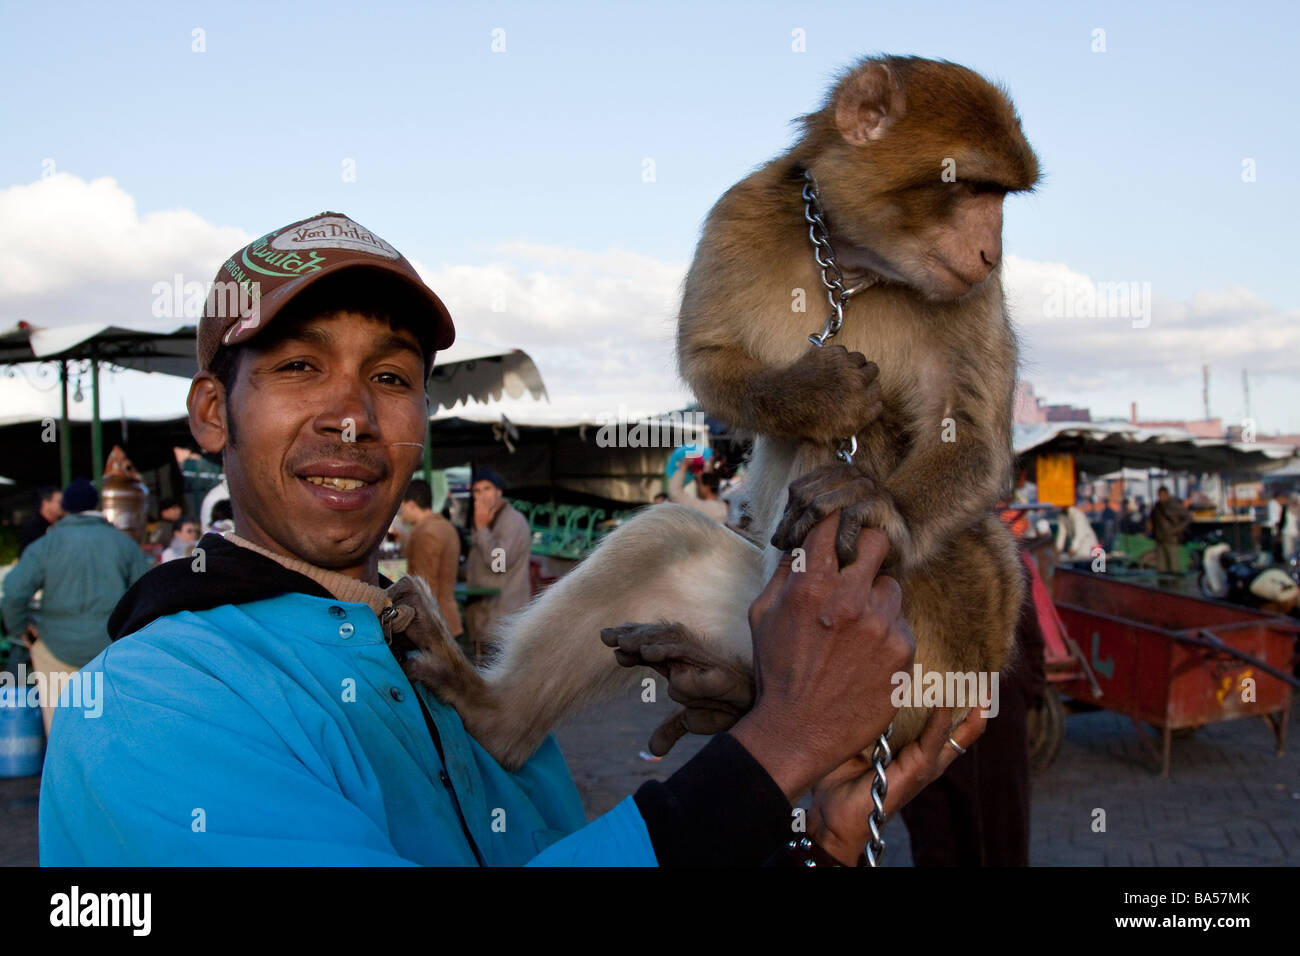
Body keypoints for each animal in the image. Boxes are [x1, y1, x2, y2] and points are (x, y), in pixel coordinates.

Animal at [401, 55, 1038, 771]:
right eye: (971, 187)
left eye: (1000, 196)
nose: (991, 251)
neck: (850, 265)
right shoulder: (743, 212)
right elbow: (708, 358)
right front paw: (819, 391)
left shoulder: (977, 294)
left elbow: (973, 436)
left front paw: (877, 504)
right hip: (756, 618)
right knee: (668, 534)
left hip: (936, 668)